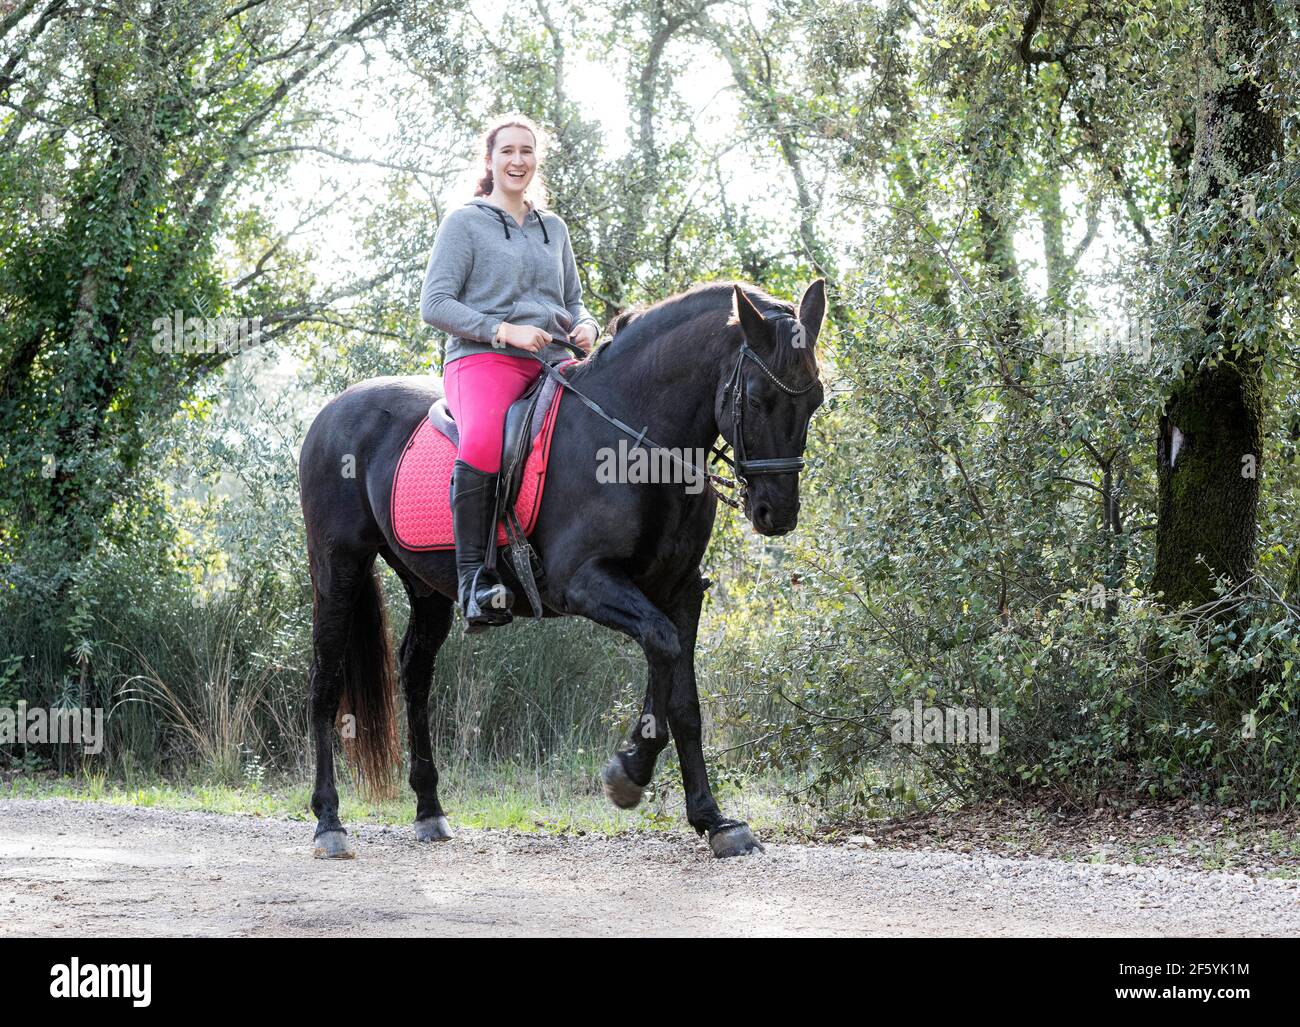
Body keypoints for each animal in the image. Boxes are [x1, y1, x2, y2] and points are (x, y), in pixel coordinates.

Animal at [297, 278, 826, 858]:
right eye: (756, 397)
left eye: (816, 400)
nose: (778, 513)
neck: (638, 439)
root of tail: (331, 412)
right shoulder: (586, 583)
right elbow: (662, 645)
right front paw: (629, 774)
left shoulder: (682, 591)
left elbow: (684, 700)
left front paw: (713, 819)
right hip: (338, 568)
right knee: (325, 682)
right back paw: (329, 823)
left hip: (428, 587)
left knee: (415, 674)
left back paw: (429, 810)